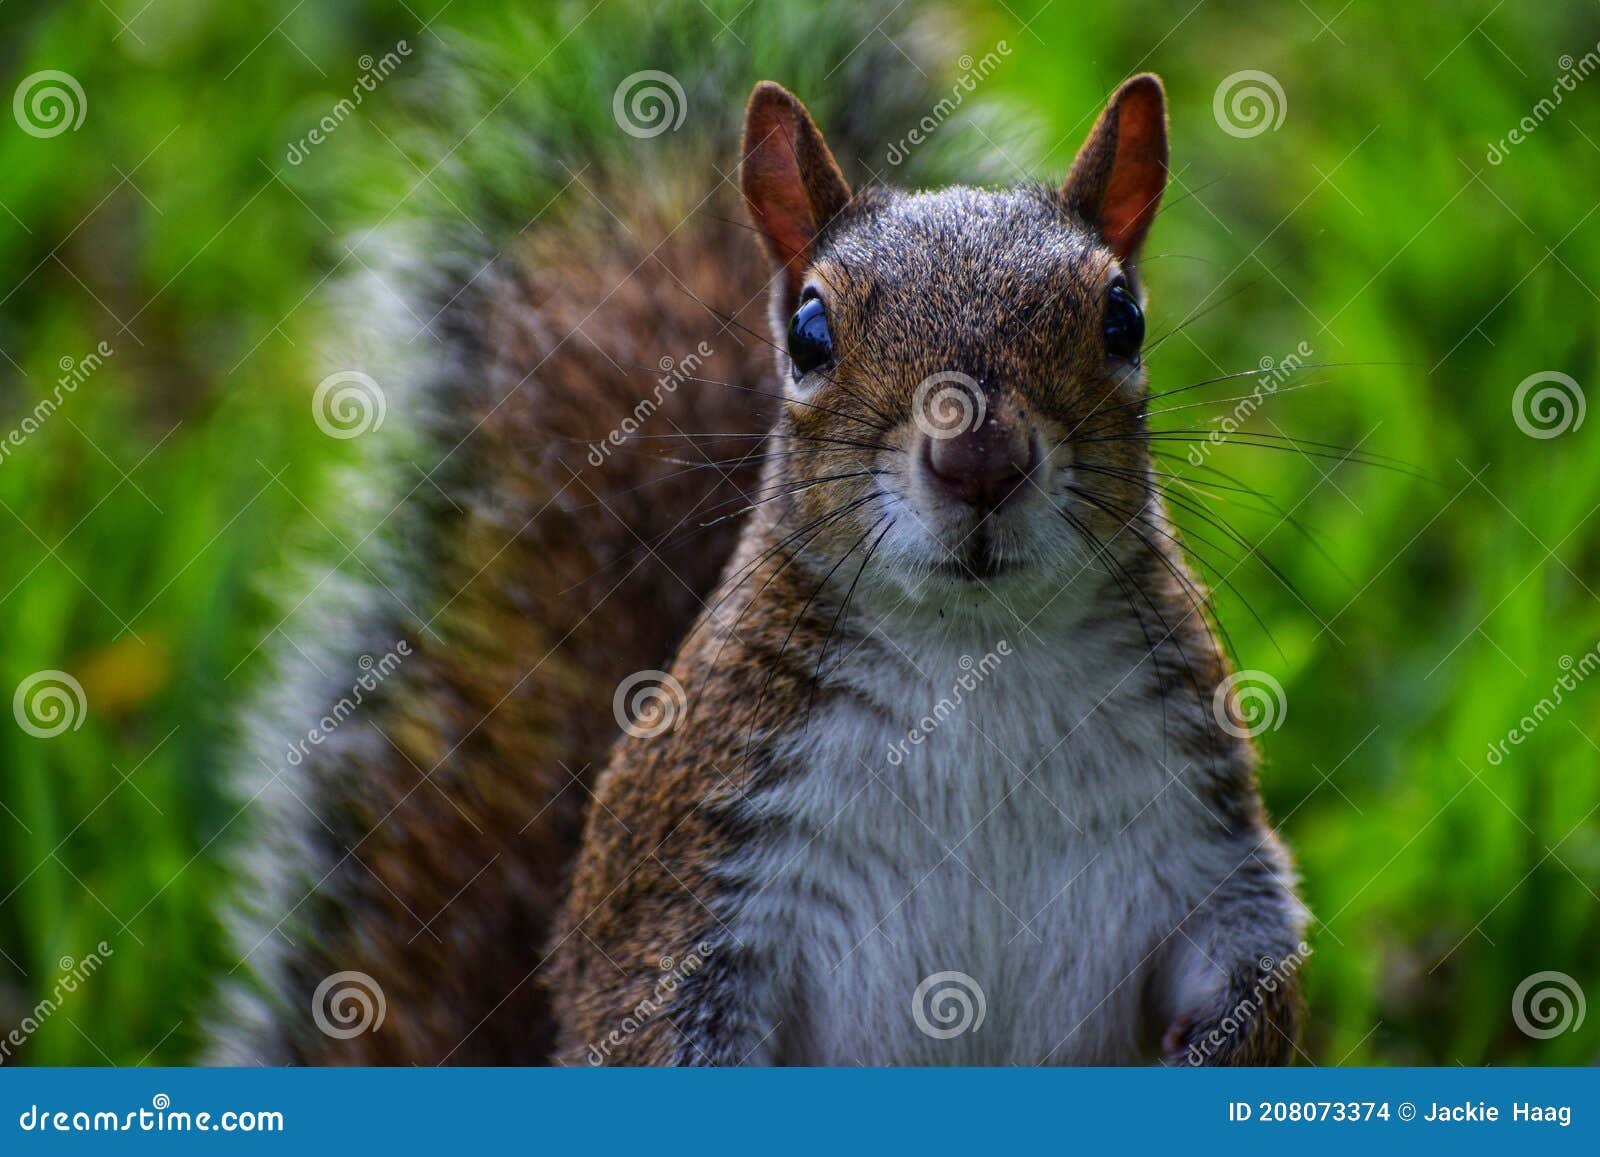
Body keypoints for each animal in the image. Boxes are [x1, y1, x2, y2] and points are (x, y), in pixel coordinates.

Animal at [210, 2, 1307, 1067]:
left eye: (1122, 318)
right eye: (809, 334)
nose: (980, 460)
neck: (977, 651)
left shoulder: (1209, 845)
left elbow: (1256, 964)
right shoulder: (691, 876)